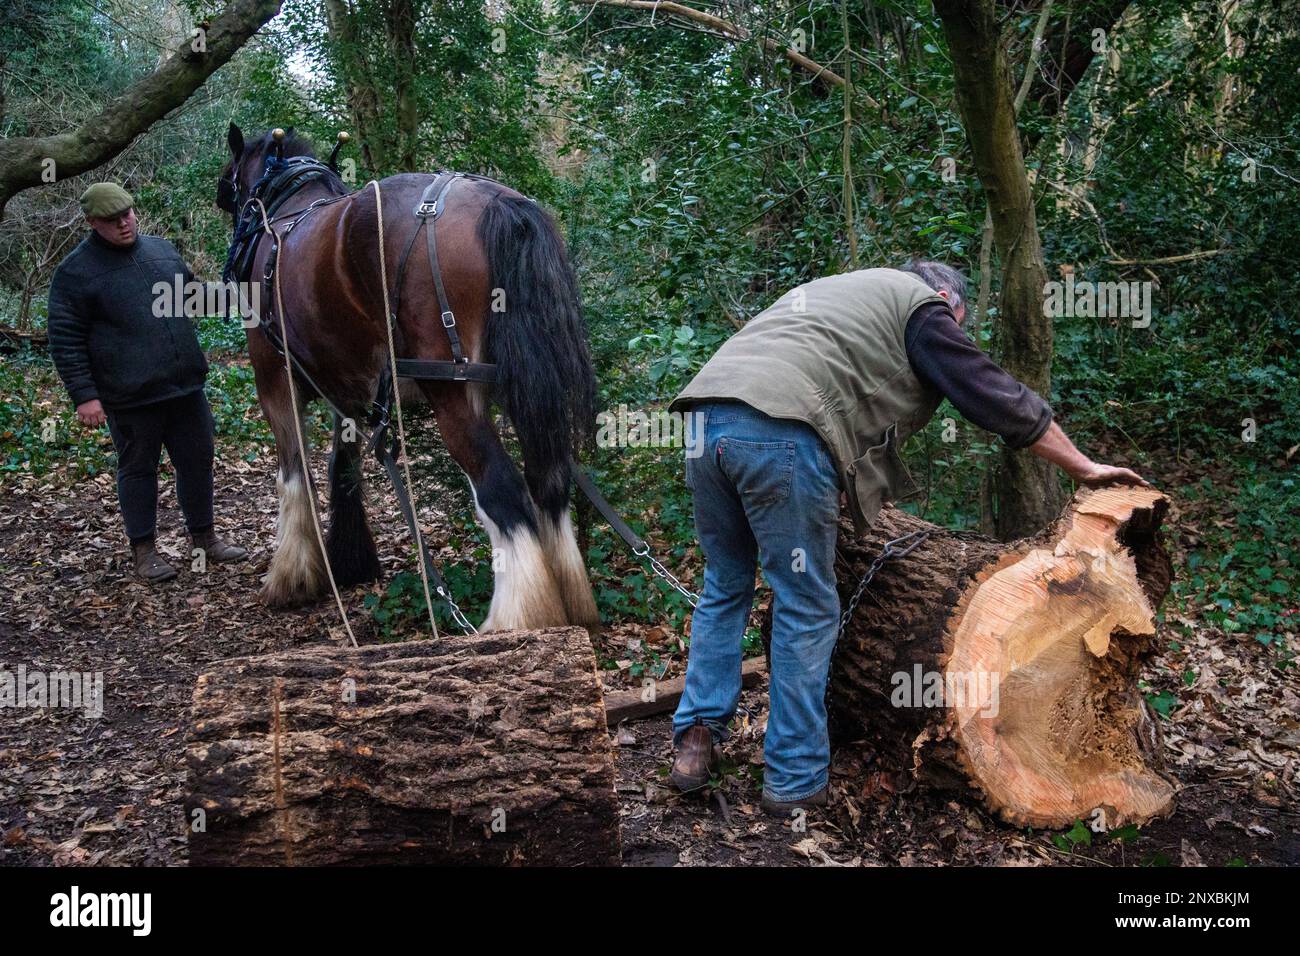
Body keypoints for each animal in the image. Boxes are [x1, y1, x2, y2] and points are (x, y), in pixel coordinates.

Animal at [216, 124, 600, 632]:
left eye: (233, 174)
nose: (221, 194)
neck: (283, 213)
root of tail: (499, 204)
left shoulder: (273, 377)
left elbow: (294, 471)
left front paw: (292, 576)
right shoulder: (346, 385)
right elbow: (343, 466)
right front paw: (351, 560)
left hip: (452, 392)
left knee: (504, 491)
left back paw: (515, 622)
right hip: (524, 383)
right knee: (549, 481)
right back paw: (572, 606)